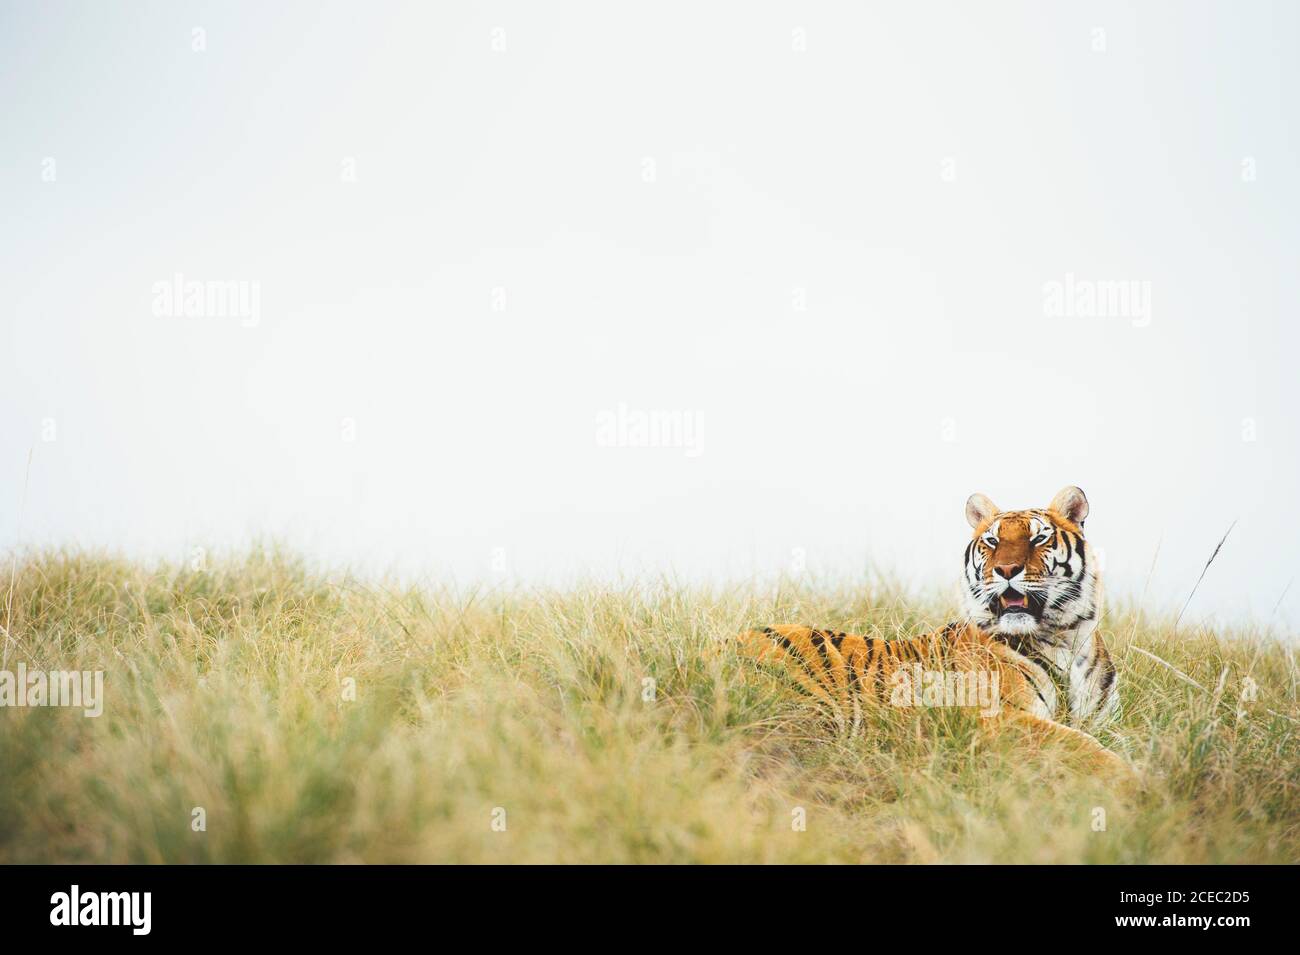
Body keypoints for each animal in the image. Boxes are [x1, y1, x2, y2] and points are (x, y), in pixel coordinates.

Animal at [738, 485, 1123, 769]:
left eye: (1038, 539)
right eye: (993, 541)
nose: (1006, 569)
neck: (1066, 637)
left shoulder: (1107, 720)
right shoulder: (996, 718)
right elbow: (1082, 745)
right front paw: (1129, 781)